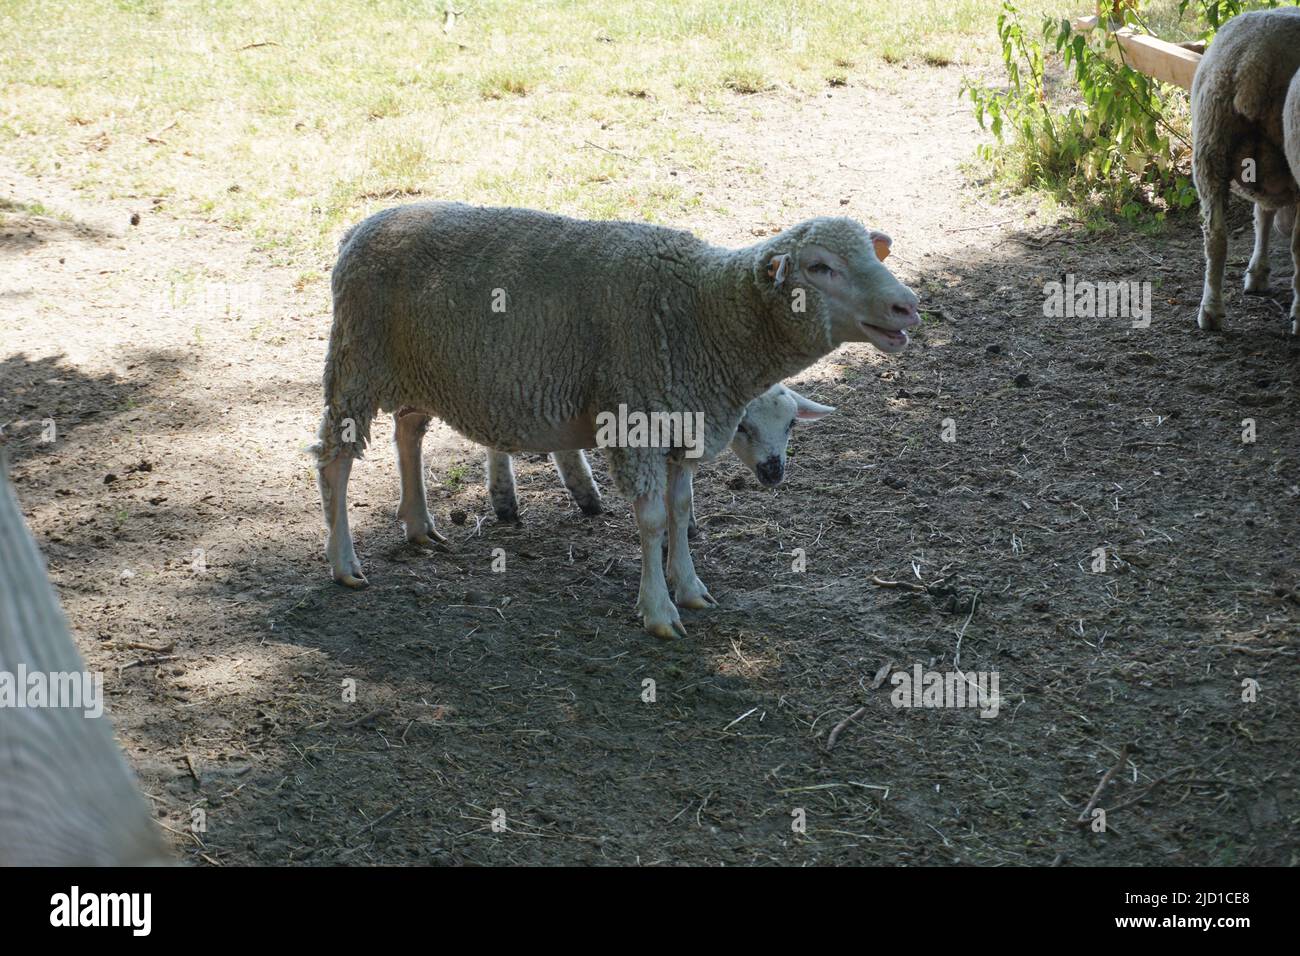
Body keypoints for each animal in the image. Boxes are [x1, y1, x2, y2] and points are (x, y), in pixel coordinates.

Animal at [484, 383, 836, 527]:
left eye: (791, 423)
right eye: (743, 427)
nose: (774, 472)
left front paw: (687, 522)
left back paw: (585, 494)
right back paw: (504, 499)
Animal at [1191, 7, 1300, 334]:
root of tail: (1254, 61)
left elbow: (1261, 216)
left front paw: (1257, 273)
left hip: (1210, 148)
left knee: (1215, 236)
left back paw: (1210, 311)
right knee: (1298, 246)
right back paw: (1299, 314)